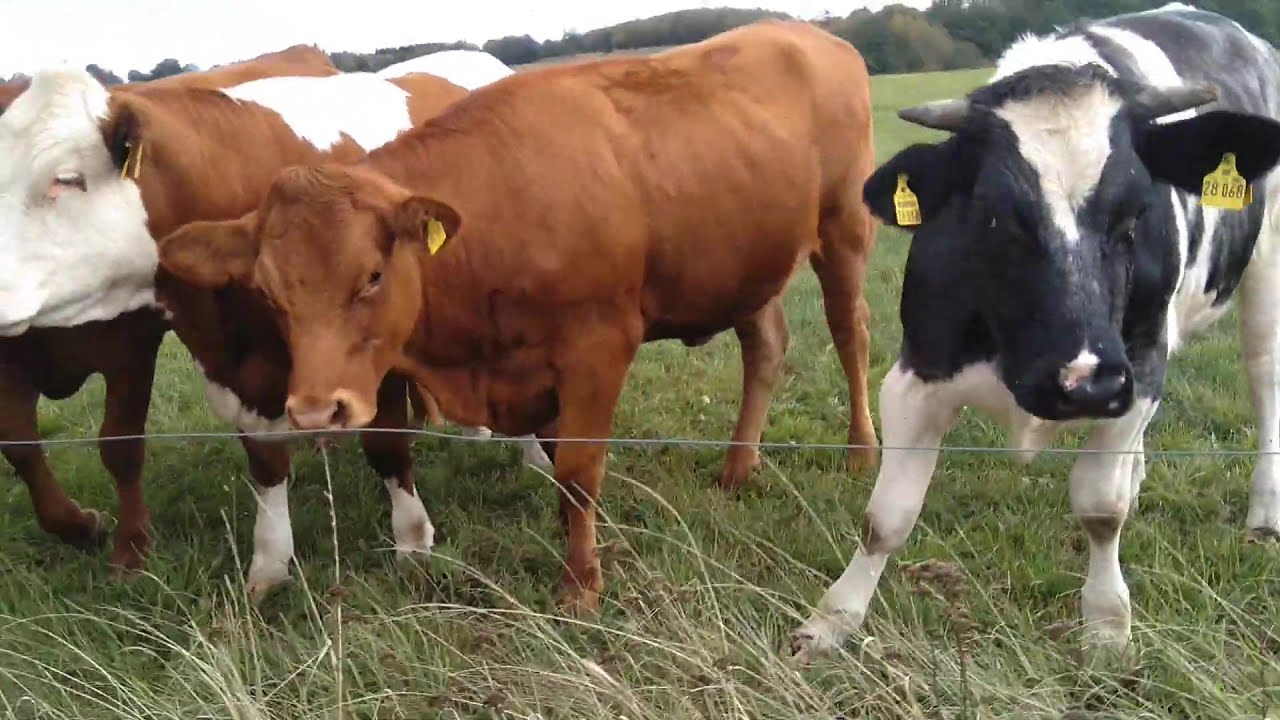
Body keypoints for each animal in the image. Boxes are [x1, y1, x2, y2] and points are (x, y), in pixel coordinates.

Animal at [0, 57, 541, 598]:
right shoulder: (233, 373)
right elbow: (265, 463)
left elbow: (386, 446)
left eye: (66, 180)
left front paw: (413, 545)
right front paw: (270, 563)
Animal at [156, 19, 881, 614]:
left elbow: (578, 470)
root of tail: (811, 34)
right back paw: (737, 468)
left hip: (843, 227)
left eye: (372, 276)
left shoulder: (599, 345)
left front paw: (581, 584)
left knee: (850, 335)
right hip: (748, 266)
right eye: (270, 293)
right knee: (766, 347)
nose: (313, 411)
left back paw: (859, 452)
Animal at [789, 3, 1280, 663]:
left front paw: (1107, 625)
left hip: (1266, 269)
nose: (1085, 384)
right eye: (994, 213)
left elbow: (1100, 510)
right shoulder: (916, 372)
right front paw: (831, 622)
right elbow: (886, 517)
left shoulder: (1140, 369)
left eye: (1135, 211)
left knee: (1264, 377)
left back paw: (1263, 511)